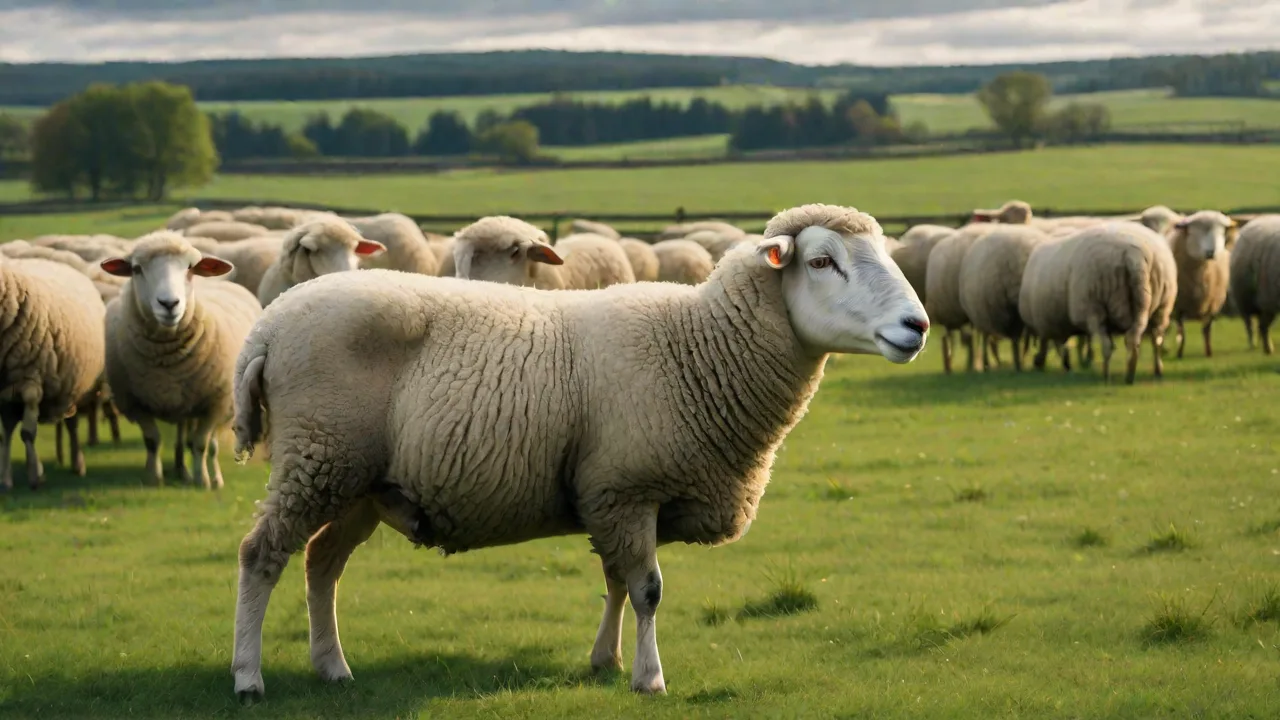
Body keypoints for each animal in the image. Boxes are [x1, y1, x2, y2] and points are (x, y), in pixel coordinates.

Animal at [0, 255, 106, 490]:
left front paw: (35, 478)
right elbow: (6, 435)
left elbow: (27, 433)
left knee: (72, 424)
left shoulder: (32, 382)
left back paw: (78, 464)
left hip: (74, 387)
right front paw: (7, 479)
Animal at [99, 233, 263, 488]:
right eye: (136, 269)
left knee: (210, 444)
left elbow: (201, 444)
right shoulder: (135, 403)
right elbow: (152, 441)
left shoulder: (213, 404)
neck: (167, 360)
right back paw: (180, 469)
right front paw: (154, 478)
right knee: (180, 433)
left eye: (190, 268)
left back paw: (213, 477)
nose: (169, 304)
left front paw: (202, 480)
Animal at [1017, 222, 1177, 384]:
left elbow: (1060, 346)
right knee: (1150, 340)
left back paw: (1106, 375)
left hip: (1095, 306)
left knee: (1107, 345)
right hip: (1160, 306)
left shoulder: (1050, 324)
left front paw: (1063, 365)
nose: (1036, 364)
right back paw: (1146, 372)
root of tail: (1133, 256)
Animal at [1167, 210, 1237, 358]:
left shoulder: (1214, 304)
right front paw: (1180, 352)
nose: (1211, 252)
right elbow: (1182, 331)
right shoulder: (1178, 307)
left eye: (1221, 232)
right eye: (1195, 232)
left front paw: (1208, 351)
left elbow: (1207, 329)